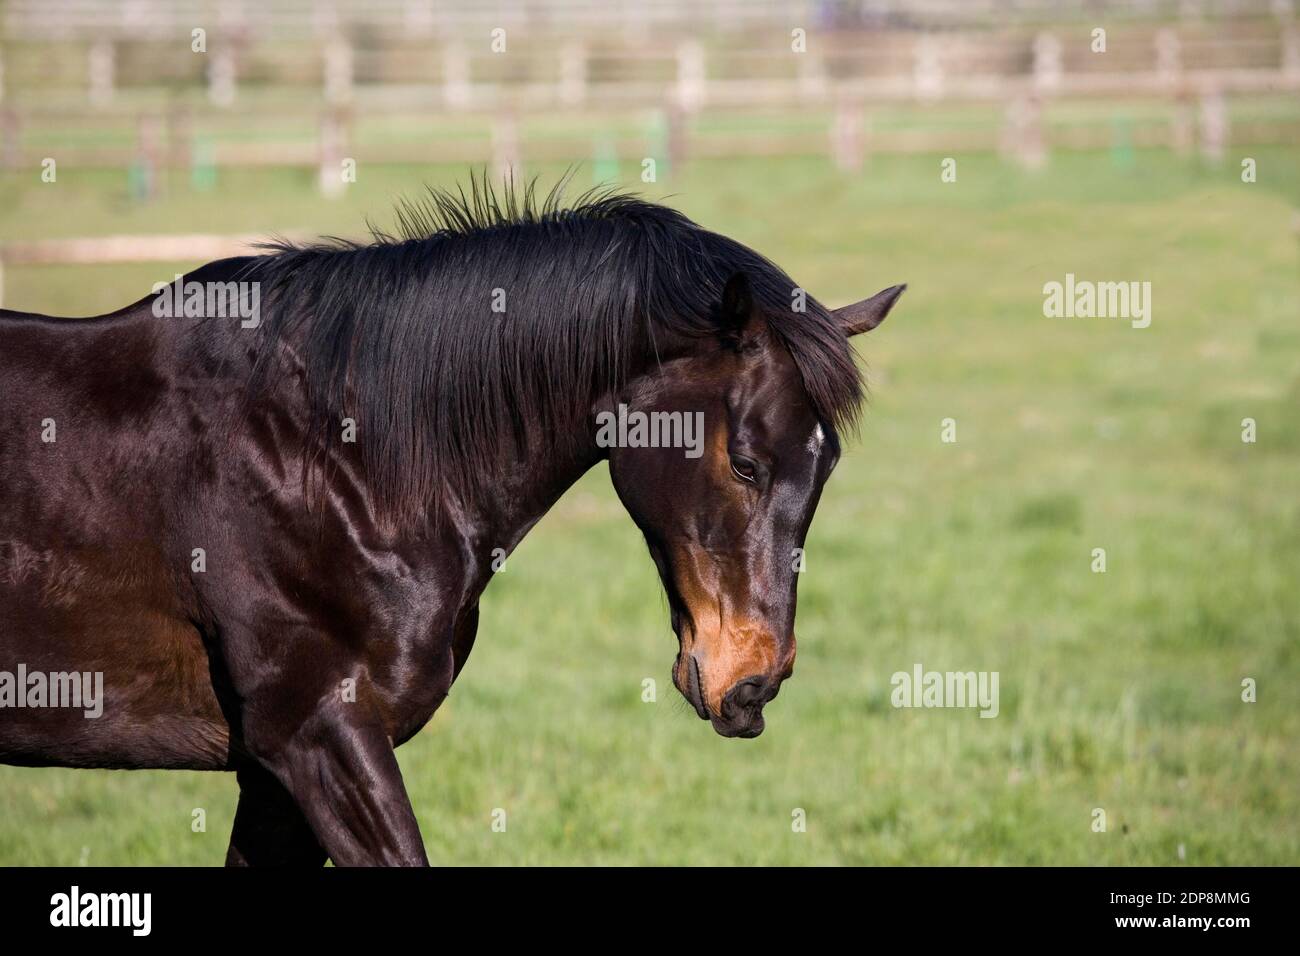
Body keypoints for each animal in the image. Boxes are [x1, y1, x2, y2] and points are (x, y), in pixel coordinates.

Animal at [0, 180, 904, 865]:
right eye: (745, 462)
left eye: (825, 467)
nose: (753, 684)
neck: (336, 457)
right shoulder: (315, 734)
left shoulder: (272, 774)